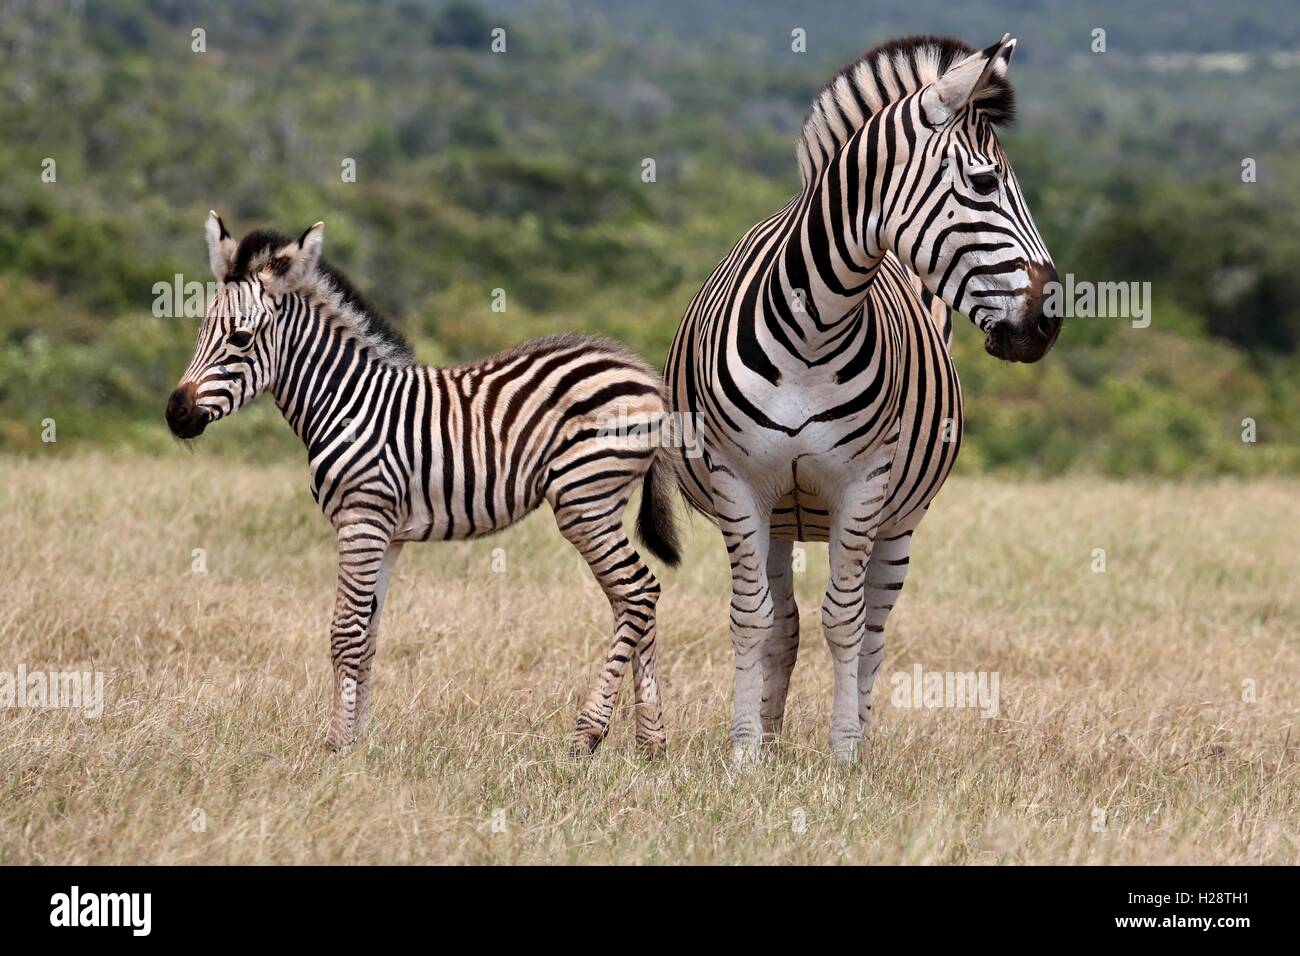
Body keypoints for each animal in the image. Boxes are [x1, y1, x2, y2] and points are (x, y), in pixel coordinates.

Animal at [166, 214, 683, 755]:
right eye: (201, 330)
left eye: (241, 339)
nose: (175, 414)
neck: (344, 401)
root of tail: (643, 373)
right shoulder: (386, 533)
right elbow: (368, 636)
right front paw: (359, 741)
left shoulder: (362, 519)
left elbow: (344, 632)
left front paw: (336, 745)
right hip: (596, 503)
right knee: (634, 600)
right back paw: (652, 740)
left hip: (585, 500)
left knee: (638, 591)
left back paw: (588, 733)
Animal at [663, 34, 1062, 760]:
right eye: (985, 184)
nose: (1047, 323)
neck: (814, 325)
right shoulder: (739, 481)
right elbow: (751, 618)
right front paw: (745, 751)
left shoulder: (862, 484)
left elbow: (845, 623)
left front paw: (844, 751)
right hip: (781, 516)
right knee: (783, 619)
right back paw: (771, 737)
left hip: (898, 522)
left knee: (873, 627)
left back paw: (861, 739)